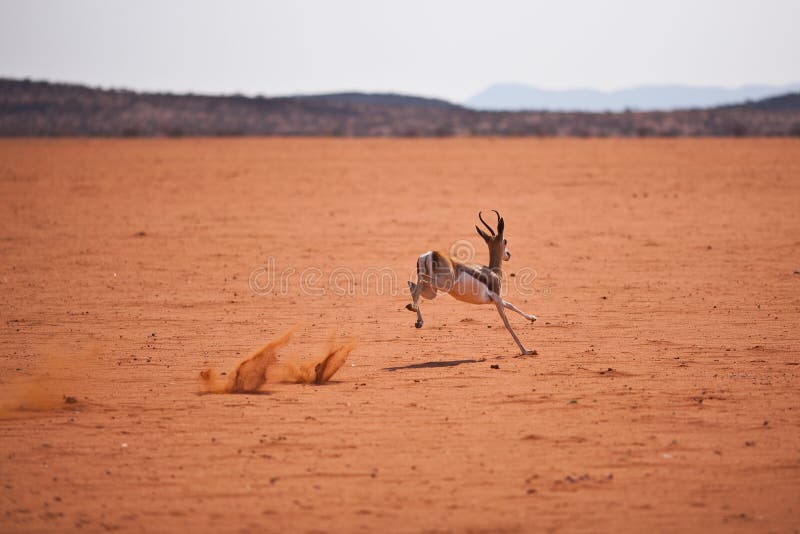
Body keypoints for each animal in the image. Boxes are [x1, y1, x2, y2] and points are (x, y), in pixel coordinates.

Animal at [406, 210, 538, 356]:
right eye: (505, 240)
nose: (508, 255)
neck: (493, 271)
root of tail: (429, 254)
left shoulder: (494, 300)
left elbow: (510, 304)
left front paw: (532, 318)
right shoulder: (497, 298)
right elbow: (507, 323)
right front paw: (526, 350)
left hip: (431, 291)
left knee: (411, 284)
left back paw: (417, 319)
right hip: (442, 285)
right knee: (420, 279)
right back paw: (413, 309)